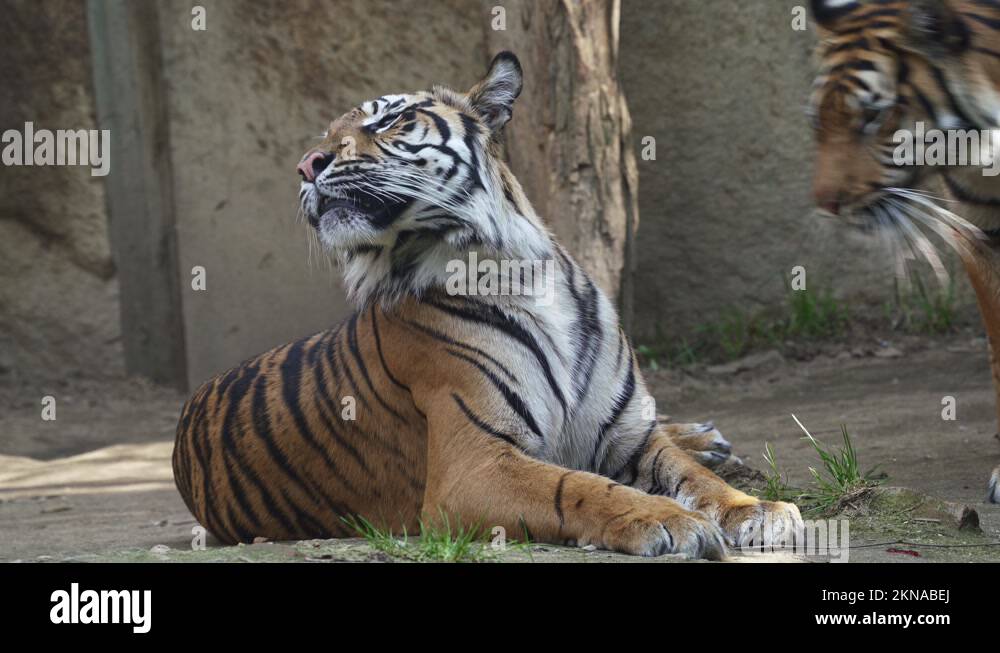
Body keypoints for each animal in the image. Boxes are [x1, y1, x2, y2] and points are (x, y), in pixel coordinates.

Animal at [172, 52, 803, 558]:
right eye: (326, 134)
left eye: (389, 120)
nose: (307, 165)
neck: (516, 267)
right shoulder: (472, 466)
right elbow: (577, 486)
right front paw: (667, 520)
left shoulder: (627, 433)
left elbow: (688, 473)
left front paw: (757, 510)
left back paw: (704, 436)